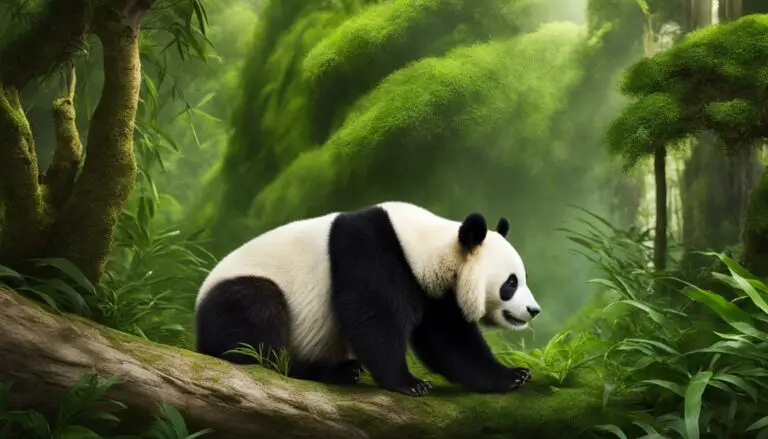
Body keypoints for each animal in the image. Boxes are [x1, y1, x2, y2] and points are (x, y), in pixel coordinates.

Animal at [194, 201, 541, 397]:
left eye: (523, 278)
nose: (533, 310)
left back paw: (343, 370)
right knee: (256, 314)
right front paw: (408, 383)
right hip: (240, 292)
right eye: (511, 283)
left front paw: (513, 376)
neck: (422, 243)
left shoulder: (433, 292)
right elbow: (373, 316)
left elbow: (450, 342)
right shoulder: (370, 250)